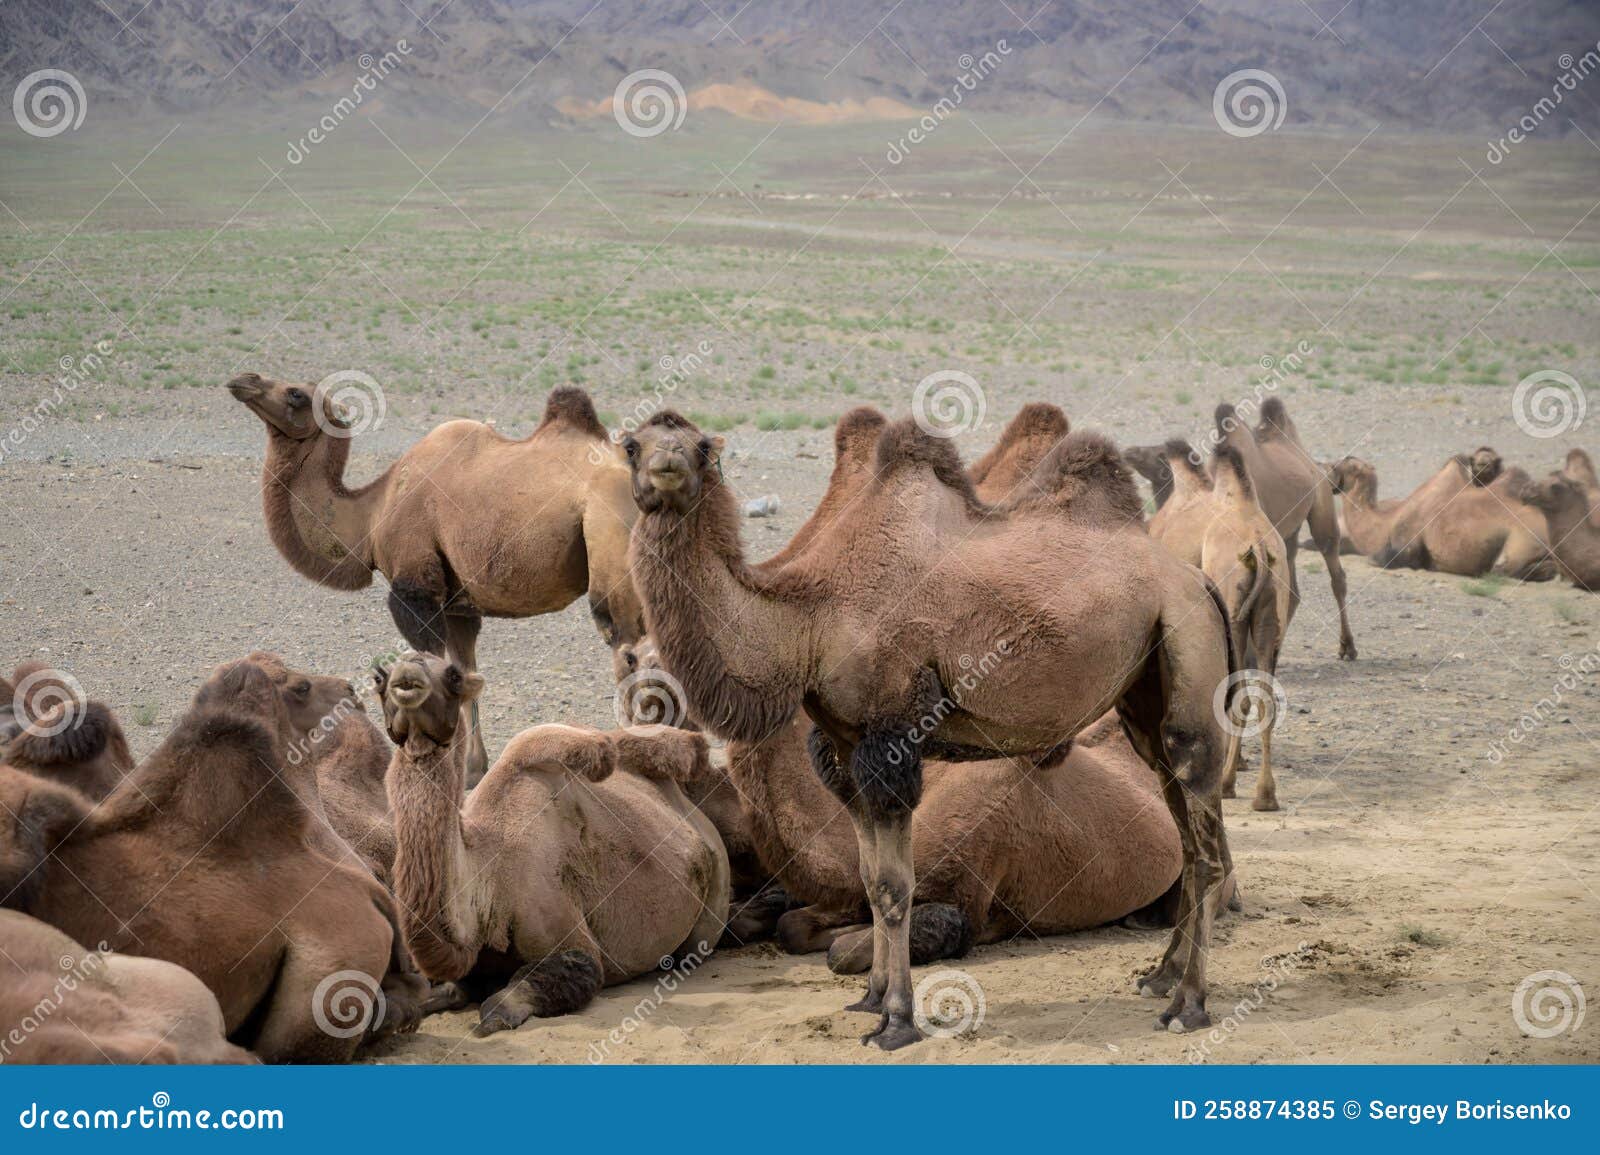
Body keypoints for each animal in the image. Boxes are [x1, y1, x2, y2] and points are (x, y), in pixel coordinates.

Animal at [228, 373, 645, 783]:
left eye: (295, 393)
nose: (243, 380)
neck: (372, 514)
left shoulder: (415, 590)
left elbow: (429, 668)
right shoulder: (458, 604)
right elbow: (465, 672)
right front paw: (473, 772)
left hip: (608, 542)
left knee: (626, 647)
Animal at [376, 652, 730, 1036]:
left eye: (454, 676)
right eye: (379, 677)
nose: (405, 675)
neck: (488, 875)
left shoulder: (572, 941)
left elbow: (505, 1001)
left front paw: (496, 1011)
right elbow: (442, 990)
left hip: (715, 898)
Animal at [623, 408, 1236, 1047]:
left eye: (699, 447)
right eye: (631, 444)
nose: (665, 467)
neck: (809, 621)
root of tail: (1198, 580)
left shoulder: (892, 739)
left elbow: (897, 887)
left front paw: (896, 1021)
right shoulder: (847, 750)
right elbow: (871, 882)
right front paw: (869, 1000)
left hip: (1187, 646)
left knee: (1206, 836)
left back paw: (1189, 1005)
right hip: (1144, 690)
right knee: (1185, 831)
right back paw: (1160, 976)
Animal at [1213, 399, 1357, 661]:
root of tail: (1317, 465)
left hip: (1321, 510)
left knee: (1335, 572)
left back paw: (1348, 647)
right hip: (1289, 533)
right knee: (1293, 591)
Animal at [1330, 453, 1555, 579]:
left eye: (1337, 466)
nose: (1327, 471)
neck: (1387, 521)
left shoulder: (1406, 542)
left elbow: (1377, 558)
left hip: (1521, 542)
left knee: (1501, 568)